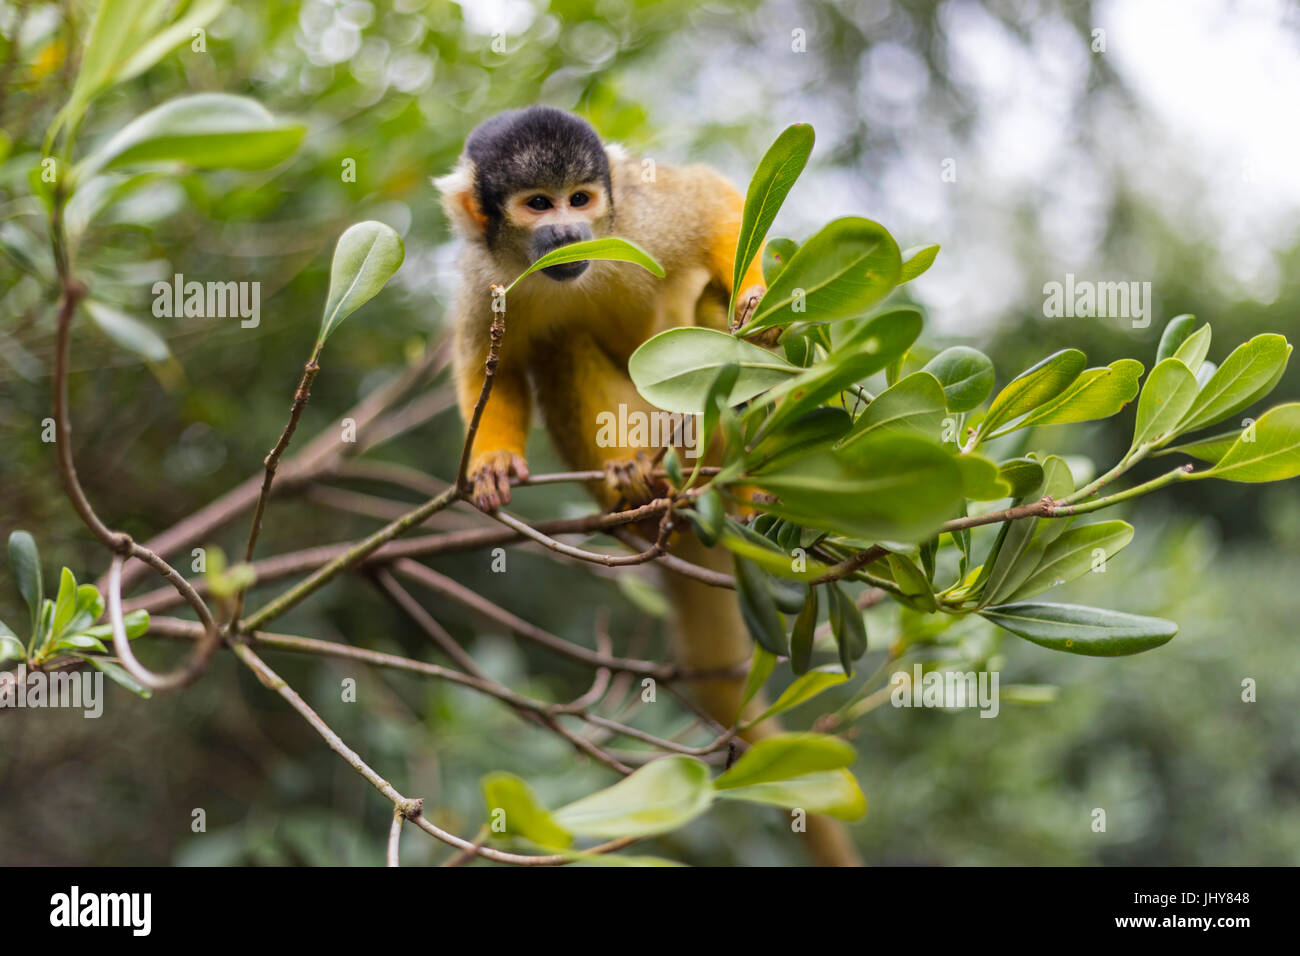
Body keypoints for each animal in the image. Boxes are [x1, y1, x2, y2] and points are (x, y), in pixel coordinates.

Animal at [436, 106, 860, 866]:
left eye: (580, 199)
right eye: (537, 204)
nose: (568, 231)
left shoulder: (637, 215)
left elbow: (710, 205)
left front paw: (755, 294)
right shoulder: (482, 277)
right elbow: (496, 365)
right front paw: (491, 463)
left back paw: (738, 484)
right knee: (558, 347)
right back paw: (630, 484)